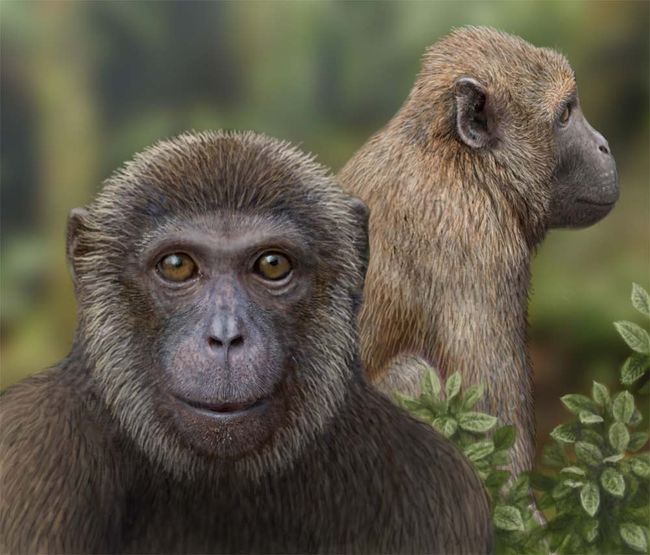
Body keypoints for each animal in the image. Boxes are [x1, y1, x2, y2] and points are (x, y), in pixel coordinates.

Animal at [338, 26, 619, 476]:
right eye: (565, 114)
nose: (603, 145)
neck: (456, 156)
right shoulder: (476, 248)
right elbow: (496, 437)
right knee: (412, 375)